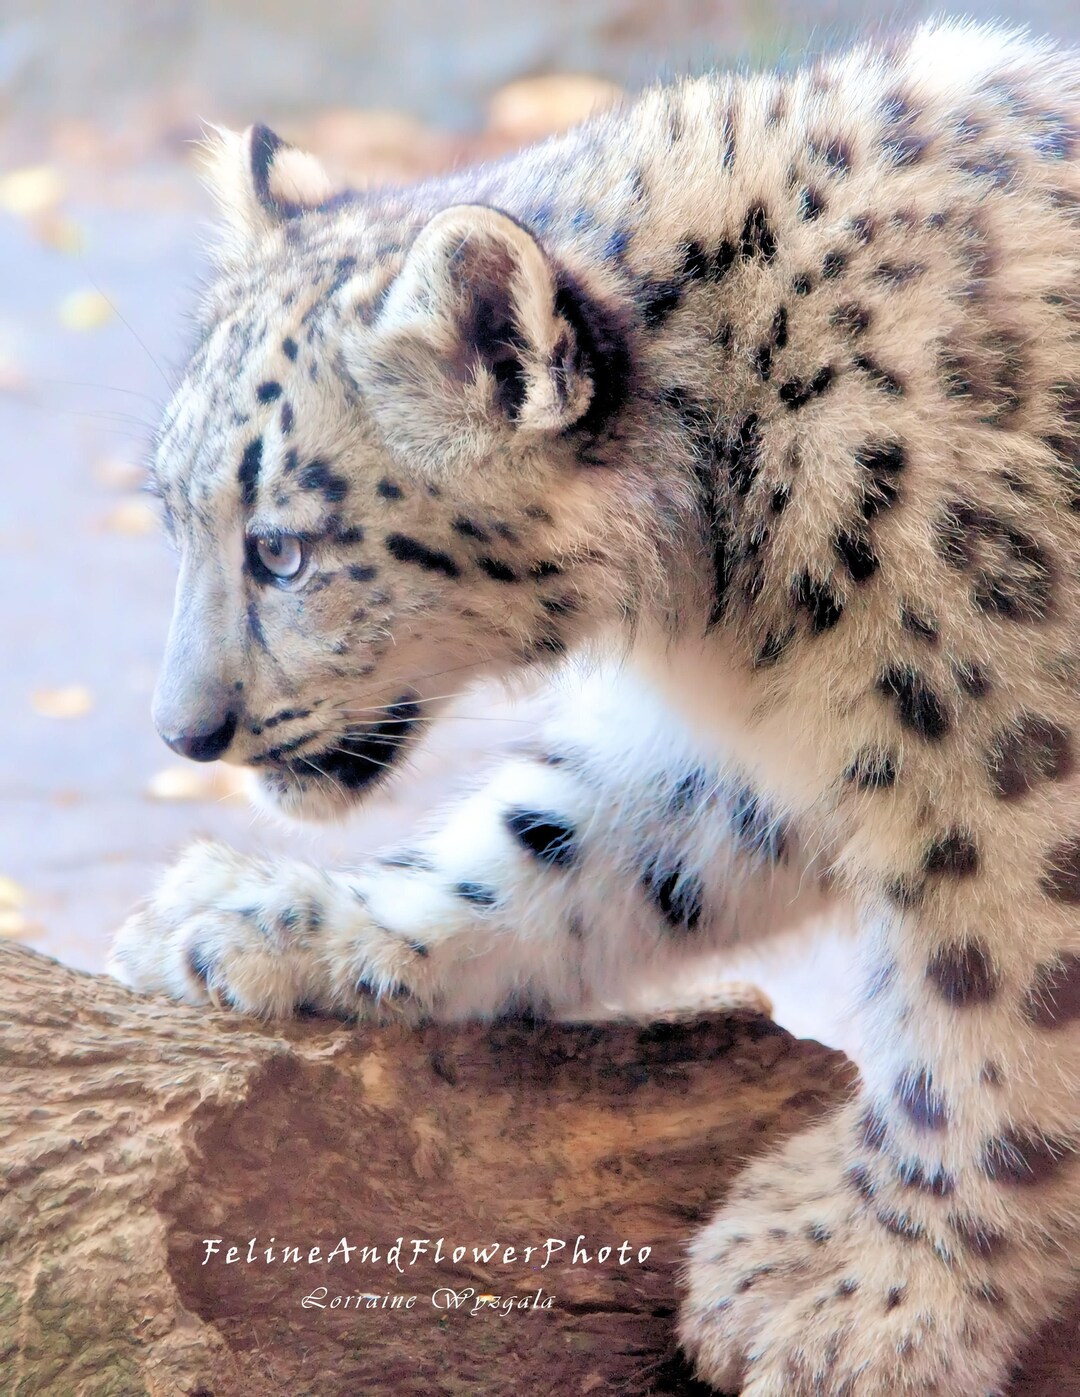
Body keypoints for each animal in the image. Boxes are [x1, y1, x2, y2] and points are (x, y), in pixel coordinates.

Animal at [108, 18, 1080, 1393]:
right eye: (175, 515)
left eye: (284, 548)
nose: (183, 733)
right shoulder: (776, 739)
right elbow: (565, 837)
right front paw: (256, 918)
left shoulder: (1008, 756)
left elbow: (996, 1000)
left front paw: (865, 1292)